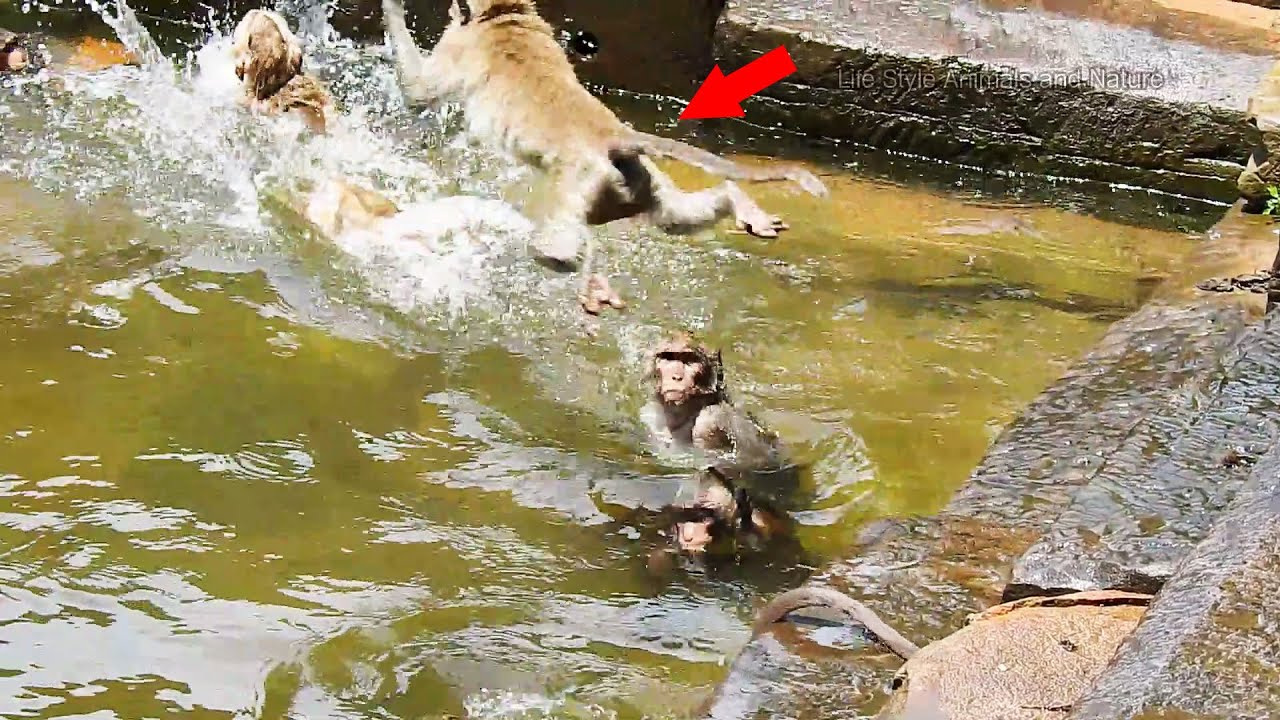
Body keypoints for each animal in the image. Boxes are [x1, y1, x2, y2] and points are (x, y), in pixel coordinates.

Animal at [379, 0, 828, 314]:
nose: (453, 8)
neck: (507, 13)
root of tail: (615, 136)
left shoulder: (459, 45)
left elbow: (416, 92)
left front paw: (393, 6)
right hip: (636, 178)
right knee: (675, 217)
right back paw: (738, 203)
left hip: (578, 177)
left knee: (553, 249)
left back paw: (580, 270)